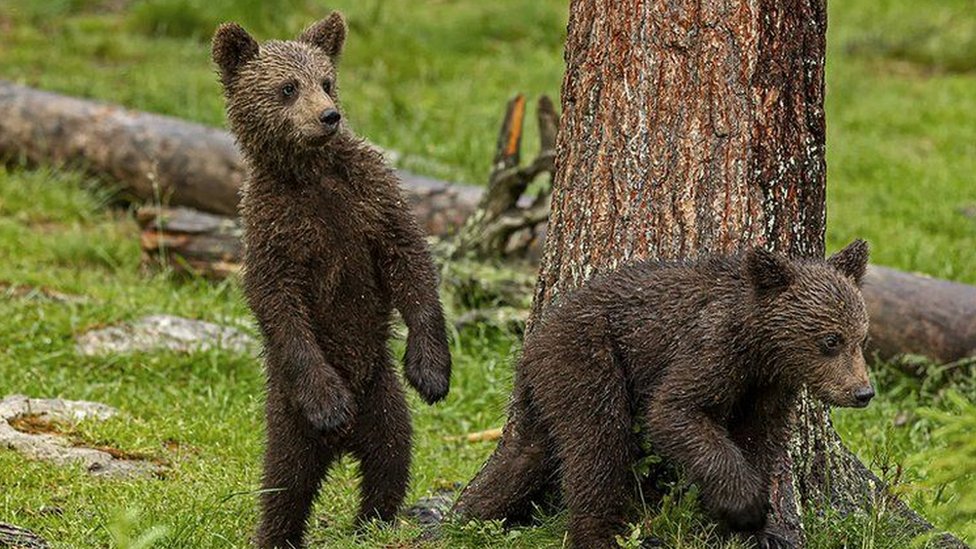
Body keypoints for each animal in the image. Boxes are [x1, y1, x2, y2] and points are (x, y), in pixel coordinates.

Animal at [211, 13, 452, 549]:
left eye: (326, 81)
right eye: (287, 87)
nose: (328, 117)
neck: (310, 172)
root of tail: (343, 445)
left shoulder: (371, 198)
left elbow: (411, 261)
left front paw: (431, 371)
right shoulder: (272, 227)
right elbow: (277, 301)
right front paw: (329, 403)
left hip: (383, 398)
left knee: (390, 463)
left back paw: (370, 521)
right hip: (288, 415)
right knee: (284, 487)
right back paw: (281, 527)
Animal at [452, 240, 874, 549]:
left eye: (861, 338)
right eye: (830, 340)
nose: (863, 392)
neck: (758, 346)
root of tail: (534, 339)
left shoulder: (767, 387)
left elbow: (759, 439)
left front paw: (762, 533)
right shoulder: (710, 348)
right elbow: (675, 410)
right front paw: (746, 506)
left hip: (547, 389)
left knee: (527, 452)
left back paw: (469, 513)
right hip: (589, 359)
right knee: (599, 444)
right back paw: (600, 535)